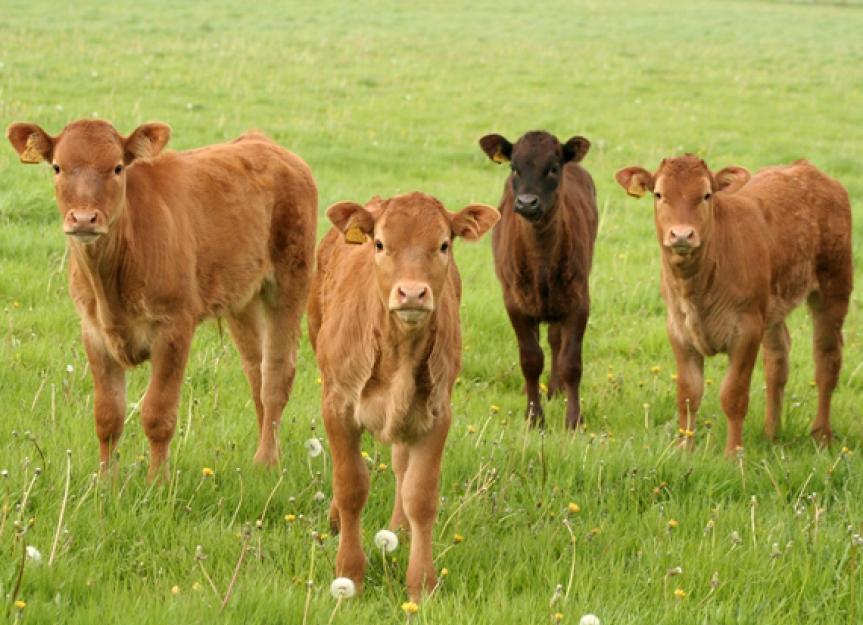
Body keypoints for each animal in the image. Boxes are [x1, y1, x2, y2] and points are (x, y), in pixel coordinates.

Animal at [6, 119, 317, 479]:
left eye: (117, 167)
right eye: (57, 167)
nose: (84, 219)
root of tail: (264, 143)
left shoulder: (174, 326)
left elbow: (158, 413)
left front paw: (158, 481)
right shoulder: (93, 331)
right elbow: (107, 415)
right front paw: (106, 482)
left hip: (290, 281)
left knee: (277, 374)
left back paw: (266, 460)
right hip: (243, 299)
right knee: (257, 370)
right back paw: (265, 451)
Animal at [307, 191, 498, 600]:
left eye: (443, 245)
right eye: (380, 244)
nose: (412, 292)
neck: (398, 350)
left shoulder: (437, 413)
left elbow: (420, 496)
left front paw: (421, 584)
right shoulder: (338, 405)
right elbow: (351, 486)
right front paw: (350, 573)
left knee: (400, 464)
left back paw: (399, 530)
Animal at [478, 131, 598, 429]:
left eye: (553, 168)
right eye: (514, 167)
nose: (526, 202)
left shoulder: (579, 300)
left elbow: (571, 362)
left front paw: (573, 420)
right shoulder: (514, 302)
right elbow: (530, 360)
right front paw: (534, 417)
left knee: (555, 341)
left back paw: (555, 389)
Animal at [615, 155, 852, 453]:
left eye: (706, 195)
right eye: (659, 194)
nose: (681, 235)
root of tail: (806, 167)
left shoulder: (746, 330)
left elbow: (734, 395)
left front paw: (733, 453)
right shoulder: (678, 330)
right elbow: (688, 395)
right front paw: (684, 449)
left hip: (834, 286)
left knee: (827, 359)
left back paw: (821, 435)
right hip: (771, 307)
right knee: (777, 361)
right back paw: (771, 433)